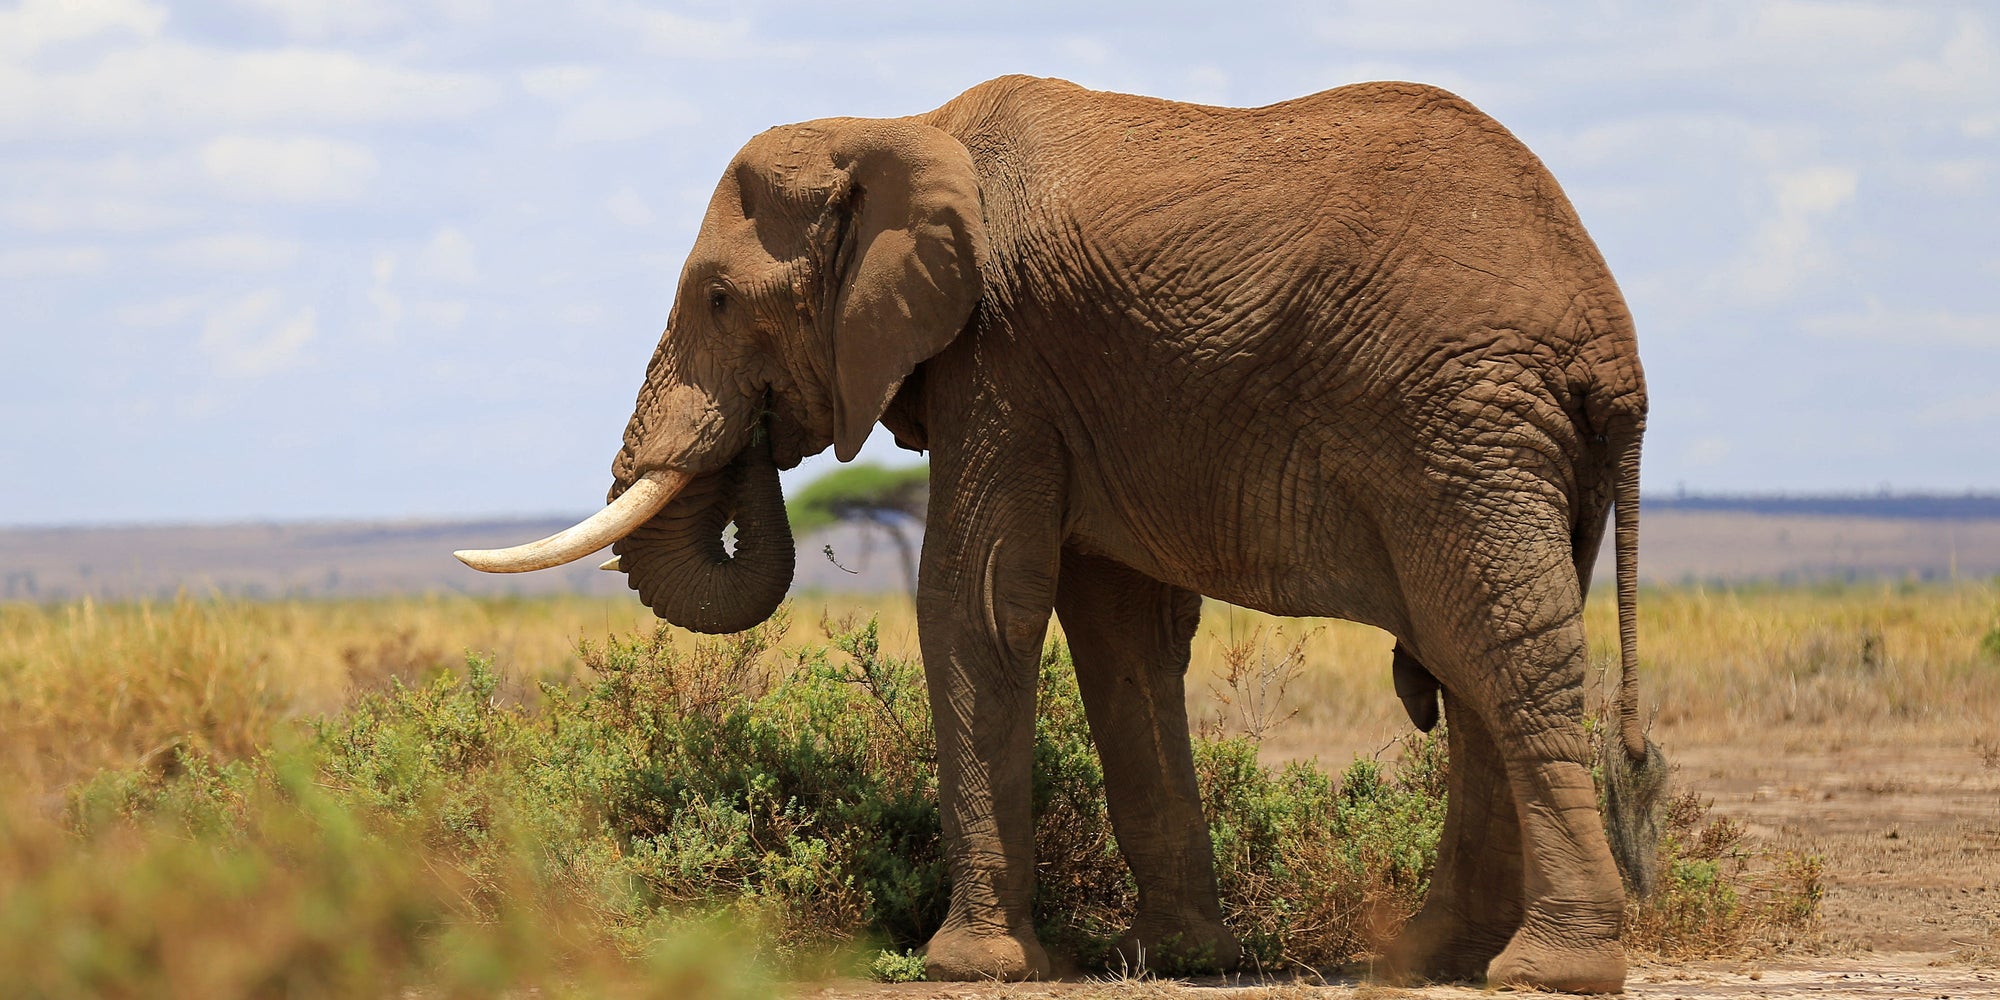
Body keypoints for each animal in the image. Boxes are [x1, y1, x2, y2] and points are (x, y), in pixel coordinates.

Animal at [457, 75, 1651, 992]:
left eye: (713, 298)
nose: (758, 435)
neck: (903, 125)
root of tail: (1611, 341)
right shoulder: (1075, 388)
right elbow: (1119, 632)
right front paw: (1182, 958)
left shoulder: (1003, 355)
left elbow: (976, 597)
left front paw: (968, 965)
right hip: (1511, 443)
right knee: (1469, 662)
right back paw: (1425, 961)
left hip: (1459, 426)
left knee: (1499, 650)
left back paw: (1548, 971)